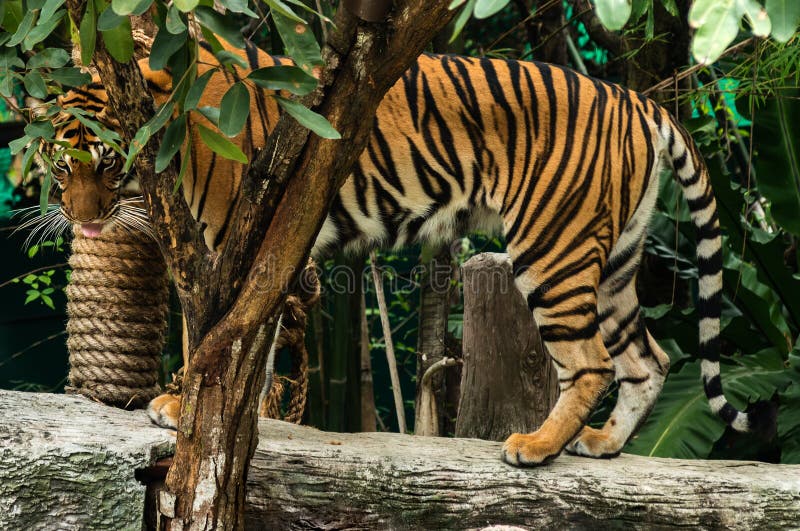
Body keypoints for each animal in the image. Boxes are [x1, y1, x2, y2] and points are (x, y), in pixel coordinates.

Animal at [37, 39, 776, 466]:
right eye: (62, 166)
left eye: (109, 161)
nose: (85, 221)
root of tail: (636, 100)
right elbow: (243, 347)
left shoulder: (232, 249)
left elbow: (218, 340)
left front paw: (182, 403)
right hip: (616, 259)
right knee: (650, 360)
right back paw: (602, 444)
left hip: (554, 249)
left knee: (592, 362)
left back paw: (535, 447)